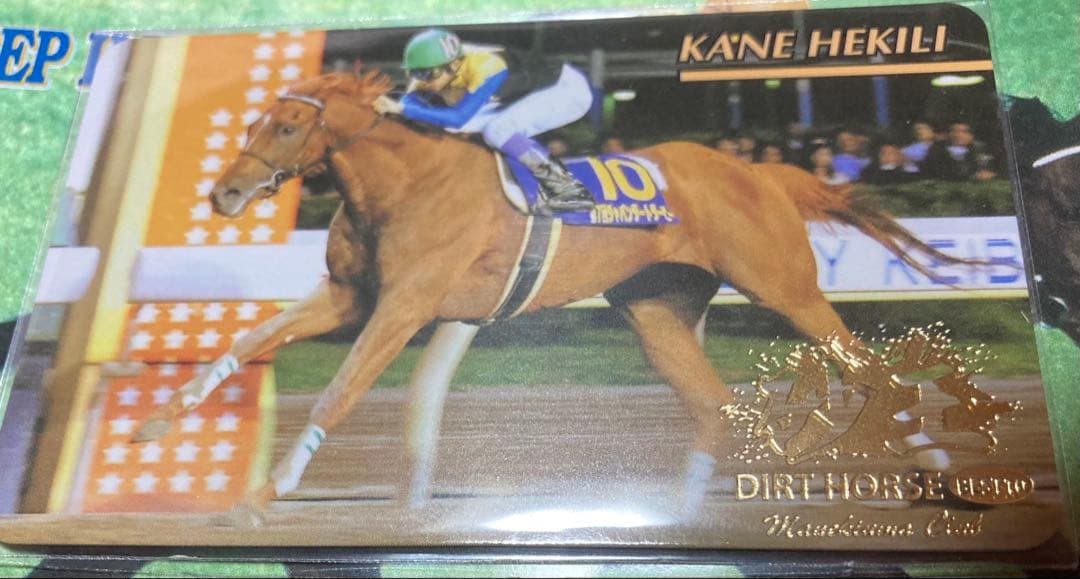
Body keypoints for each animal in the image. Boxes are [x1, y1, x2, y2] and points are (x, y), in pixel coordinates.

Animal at [132, 70, 965, 518]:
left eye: (282, 126)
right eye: (256, 120)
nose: (225, 193)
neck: (407, 181)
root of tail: (756, 168)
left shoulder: (405, 306)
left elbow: (338, 392)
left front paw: (265, 492)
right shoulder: (349, 297)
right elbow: (245, 342)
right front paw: (154, 426)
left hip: (783, 286)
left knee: (879, 377)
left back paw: (946, 483)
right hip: (656, 312)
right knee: (712, 402)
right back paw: (677, 514)